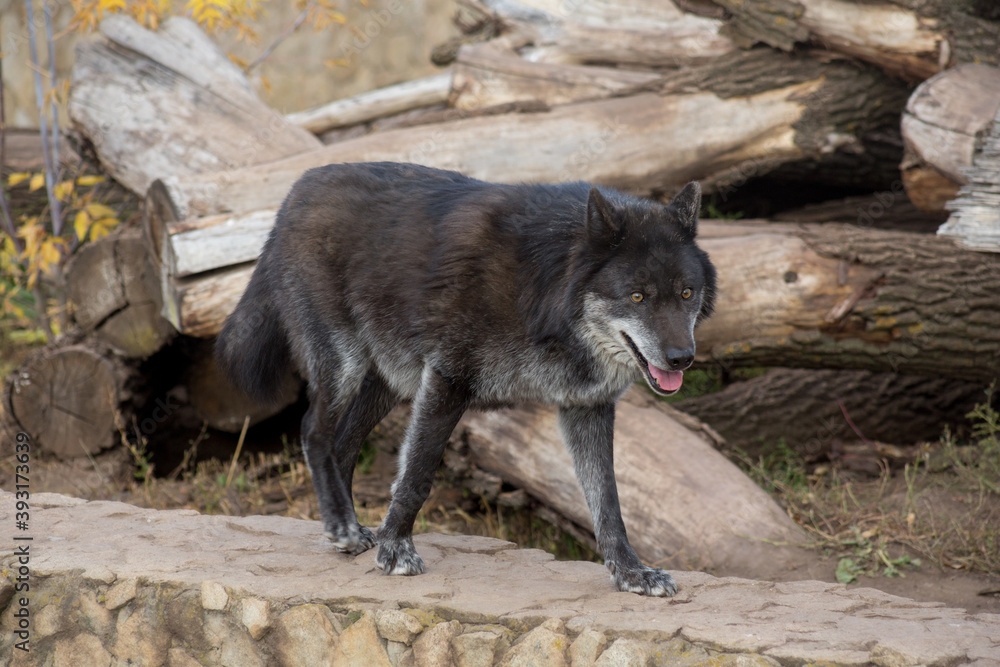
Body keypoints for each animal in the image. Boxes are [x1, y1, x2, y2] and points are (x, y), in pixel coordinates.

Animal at [216, 162, 716, 596]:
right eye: (637, 296)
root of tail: (296, 191)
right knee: (313, 432)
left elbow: (608, 501)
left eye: (686, 293)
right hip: (346, 364)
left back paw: (348, 527)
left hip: (389, 382)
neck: (545, 284)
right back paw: (342, 527)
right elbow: (416, 476)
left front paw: (631, 573)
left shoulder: (587, 408)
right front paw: (396, 549)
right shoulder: (448, 379)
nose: (681, 359)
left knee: (342, 445)